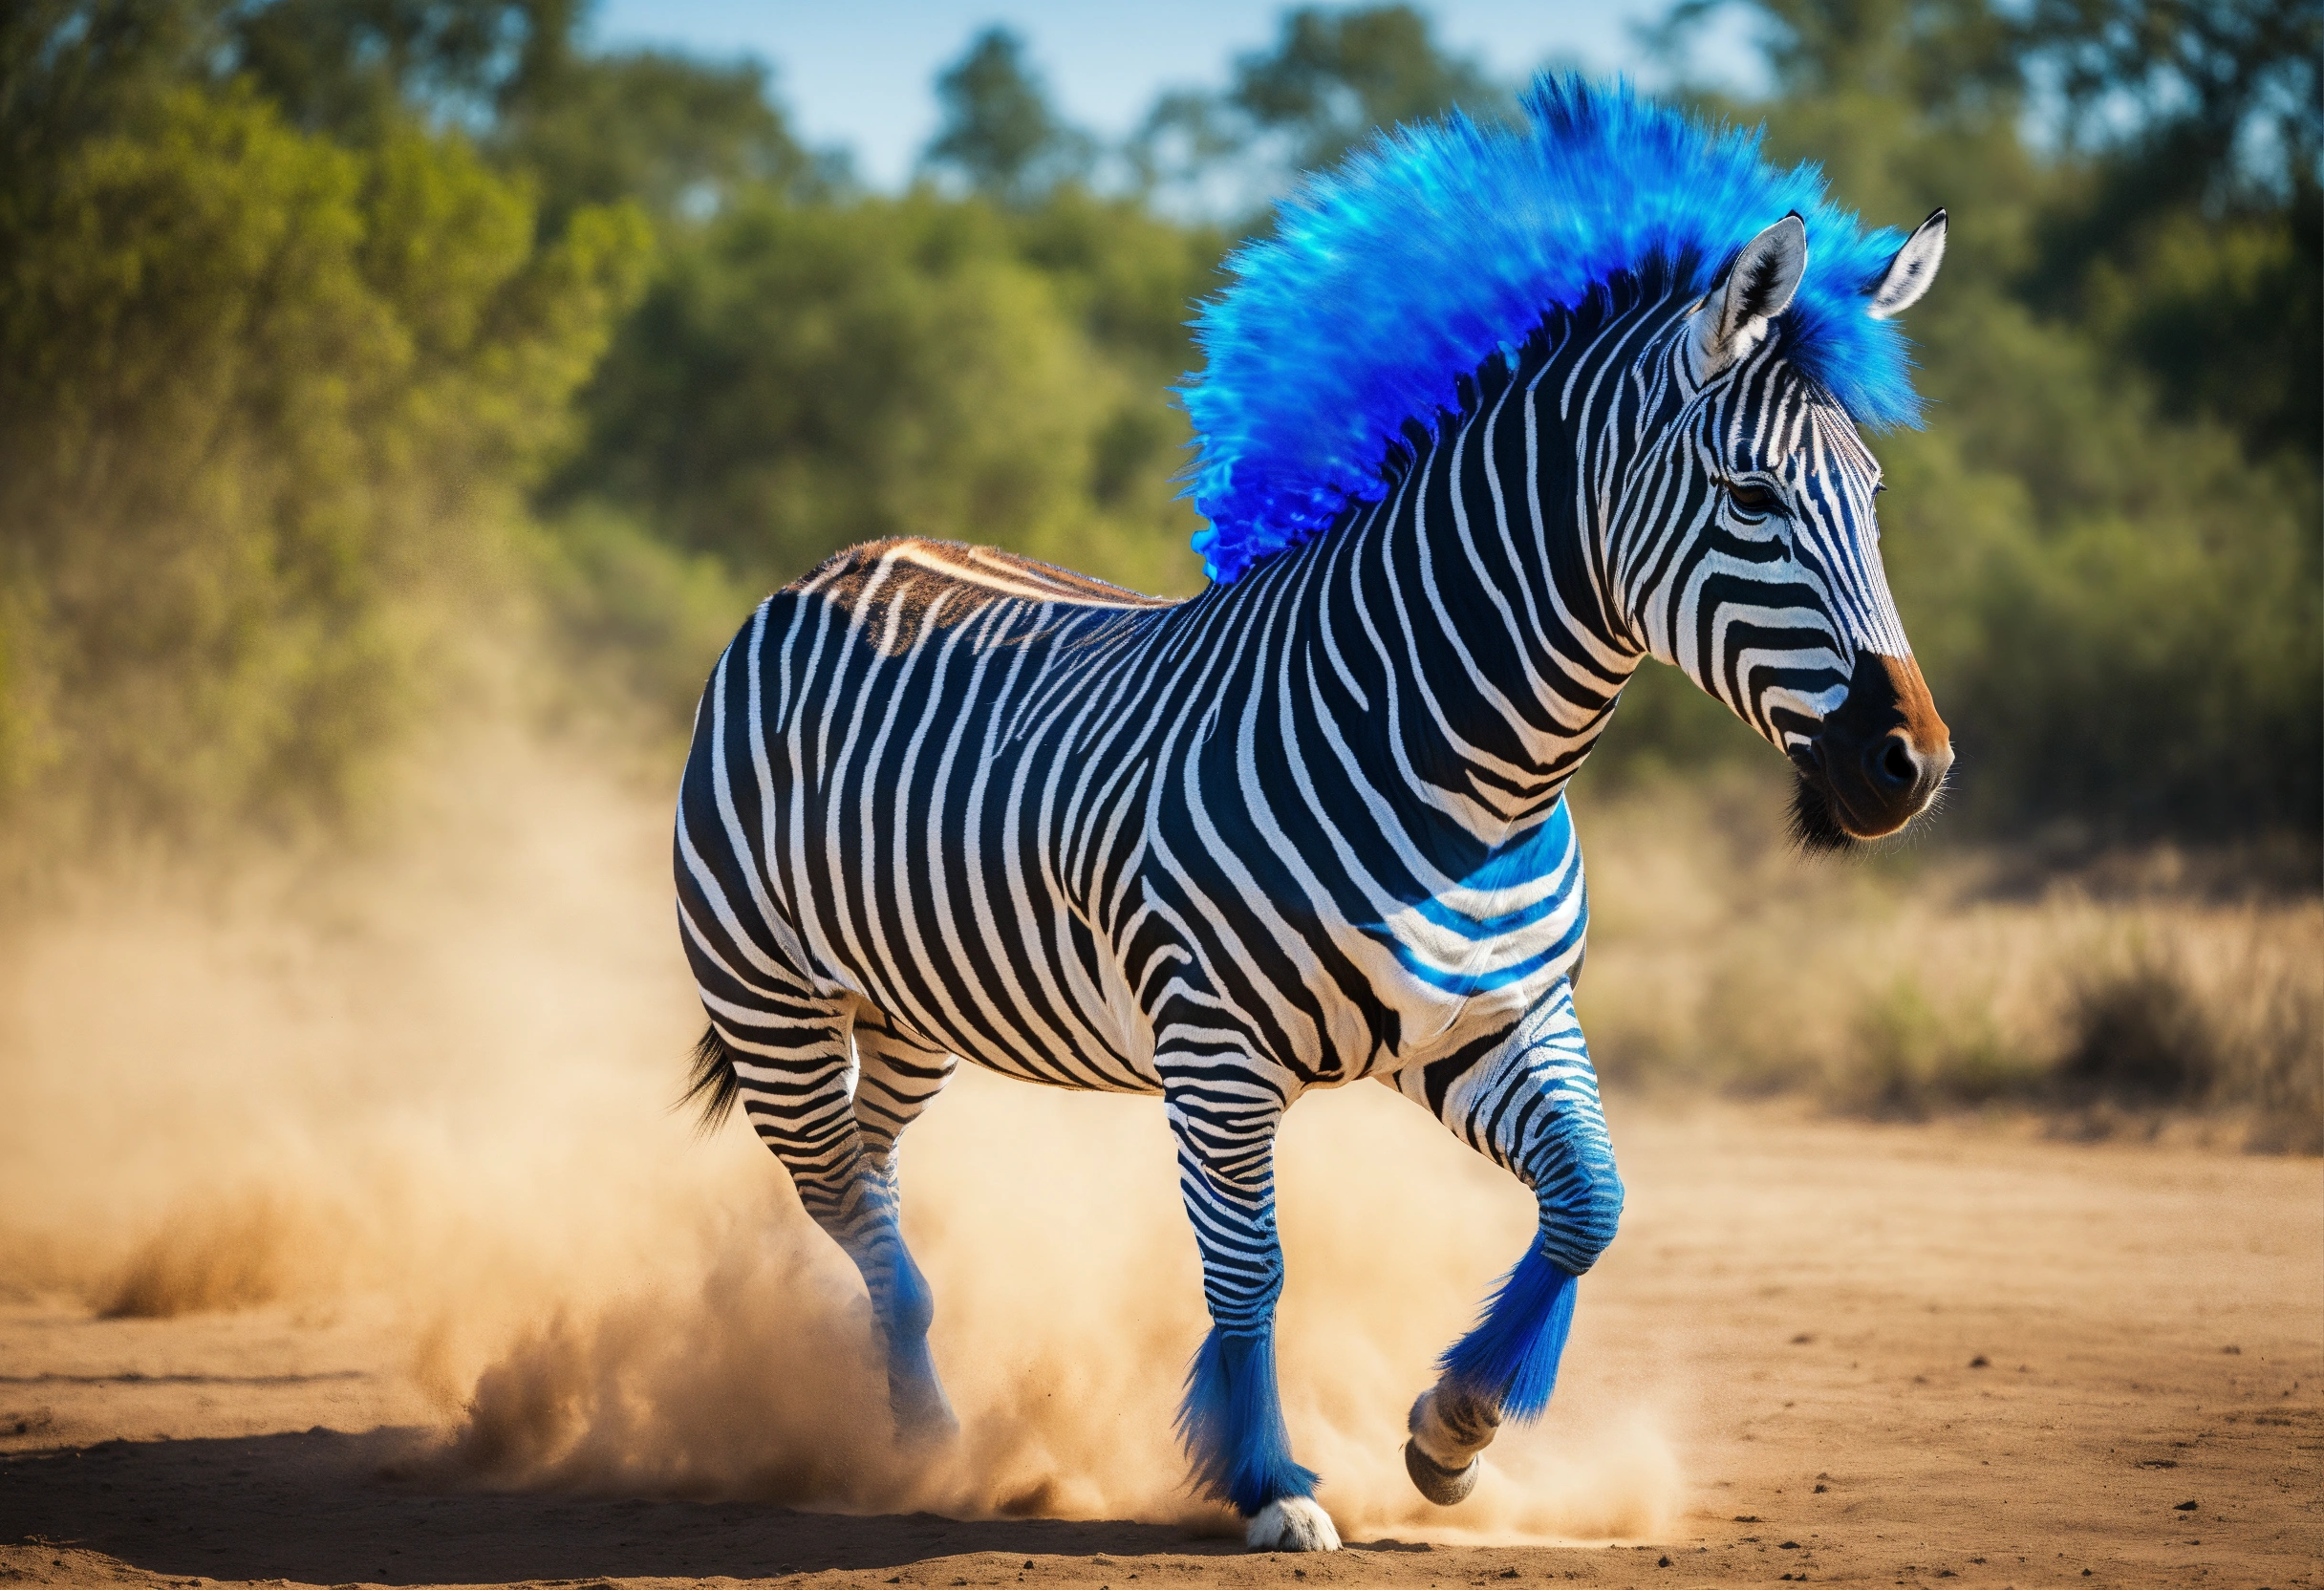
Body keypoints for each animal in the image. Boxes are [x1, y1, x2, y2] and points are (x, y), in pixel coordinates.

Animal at [673, 78, 1953, 1552]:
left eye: (1870, 497)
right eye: (1751, 496)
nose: (1910, 767)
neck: (1475, 779)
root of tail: (846, 559)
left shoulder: (1493, 1024)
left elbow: (1591, 1202)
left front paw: (1453, 1433)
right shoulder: (1216, 1054)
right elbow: (1253, 1268)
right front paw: (1266, 1478)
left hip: (911, 1007)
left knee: (871, 1179)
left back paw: (887, 1398)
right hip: (770, 998)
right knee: (838, 1189)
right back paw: (917, 1435)